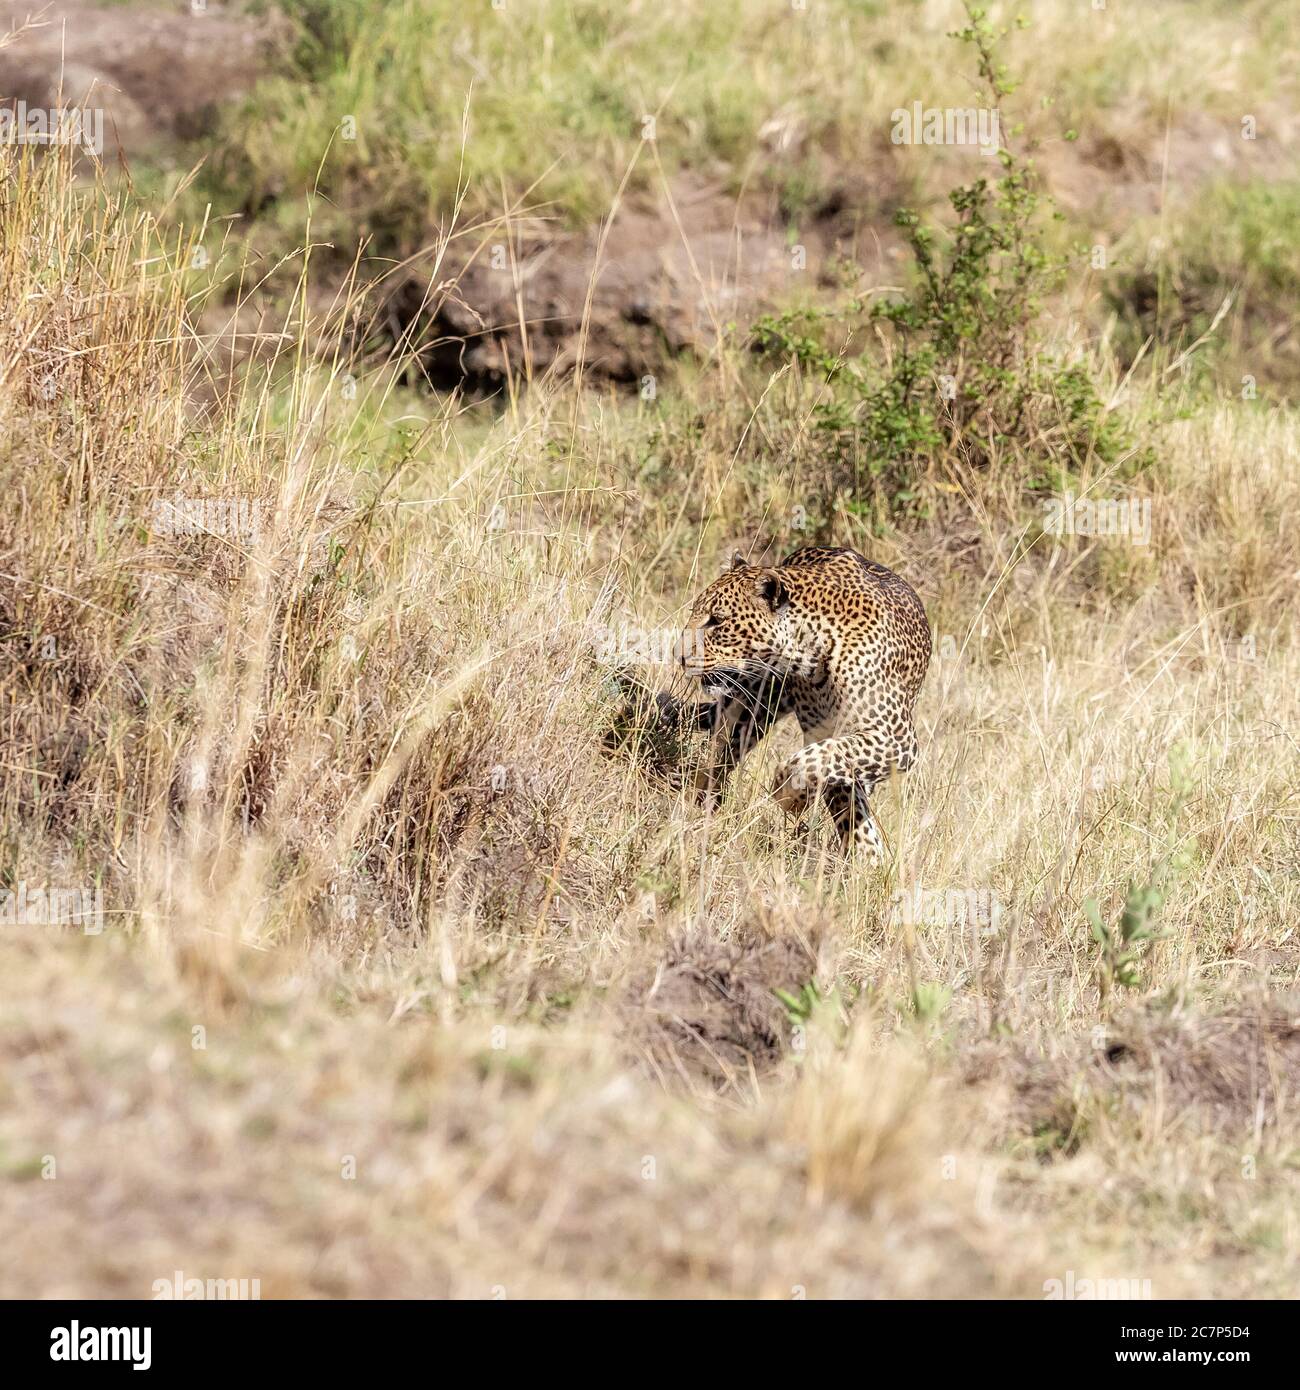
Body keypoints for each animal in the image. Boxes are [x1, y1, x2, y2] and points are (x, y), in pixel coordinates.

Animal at [656, 546, 930, 859]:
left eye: (718, 620)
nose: (678, 654)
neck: (811, 652)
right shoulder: (826, 732)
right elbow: (834, 779)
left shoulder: (896, 738)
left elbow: (817, 761)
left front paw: (790, 794)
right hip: (757, 701)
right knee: (722, 749)